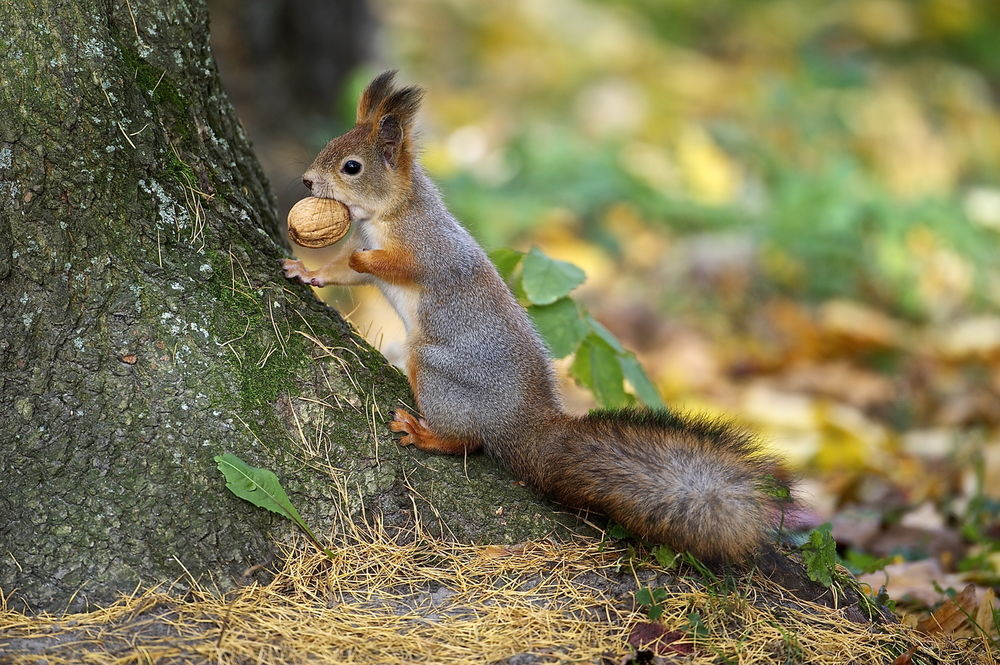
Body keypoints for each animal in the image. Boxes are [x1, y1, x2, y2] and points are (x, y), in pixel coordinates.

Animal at [284, 72, 788, 560]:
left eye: (352, 166)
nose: (306, 181)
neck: (385, 215)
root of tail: (522, 424)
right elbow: (342, 271)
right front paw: (305, 270)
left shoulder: (430, 249)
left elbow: (397, 266)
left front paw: (361, 259)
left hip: (437, 370)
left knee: (468, 440)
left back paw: (425, 434)